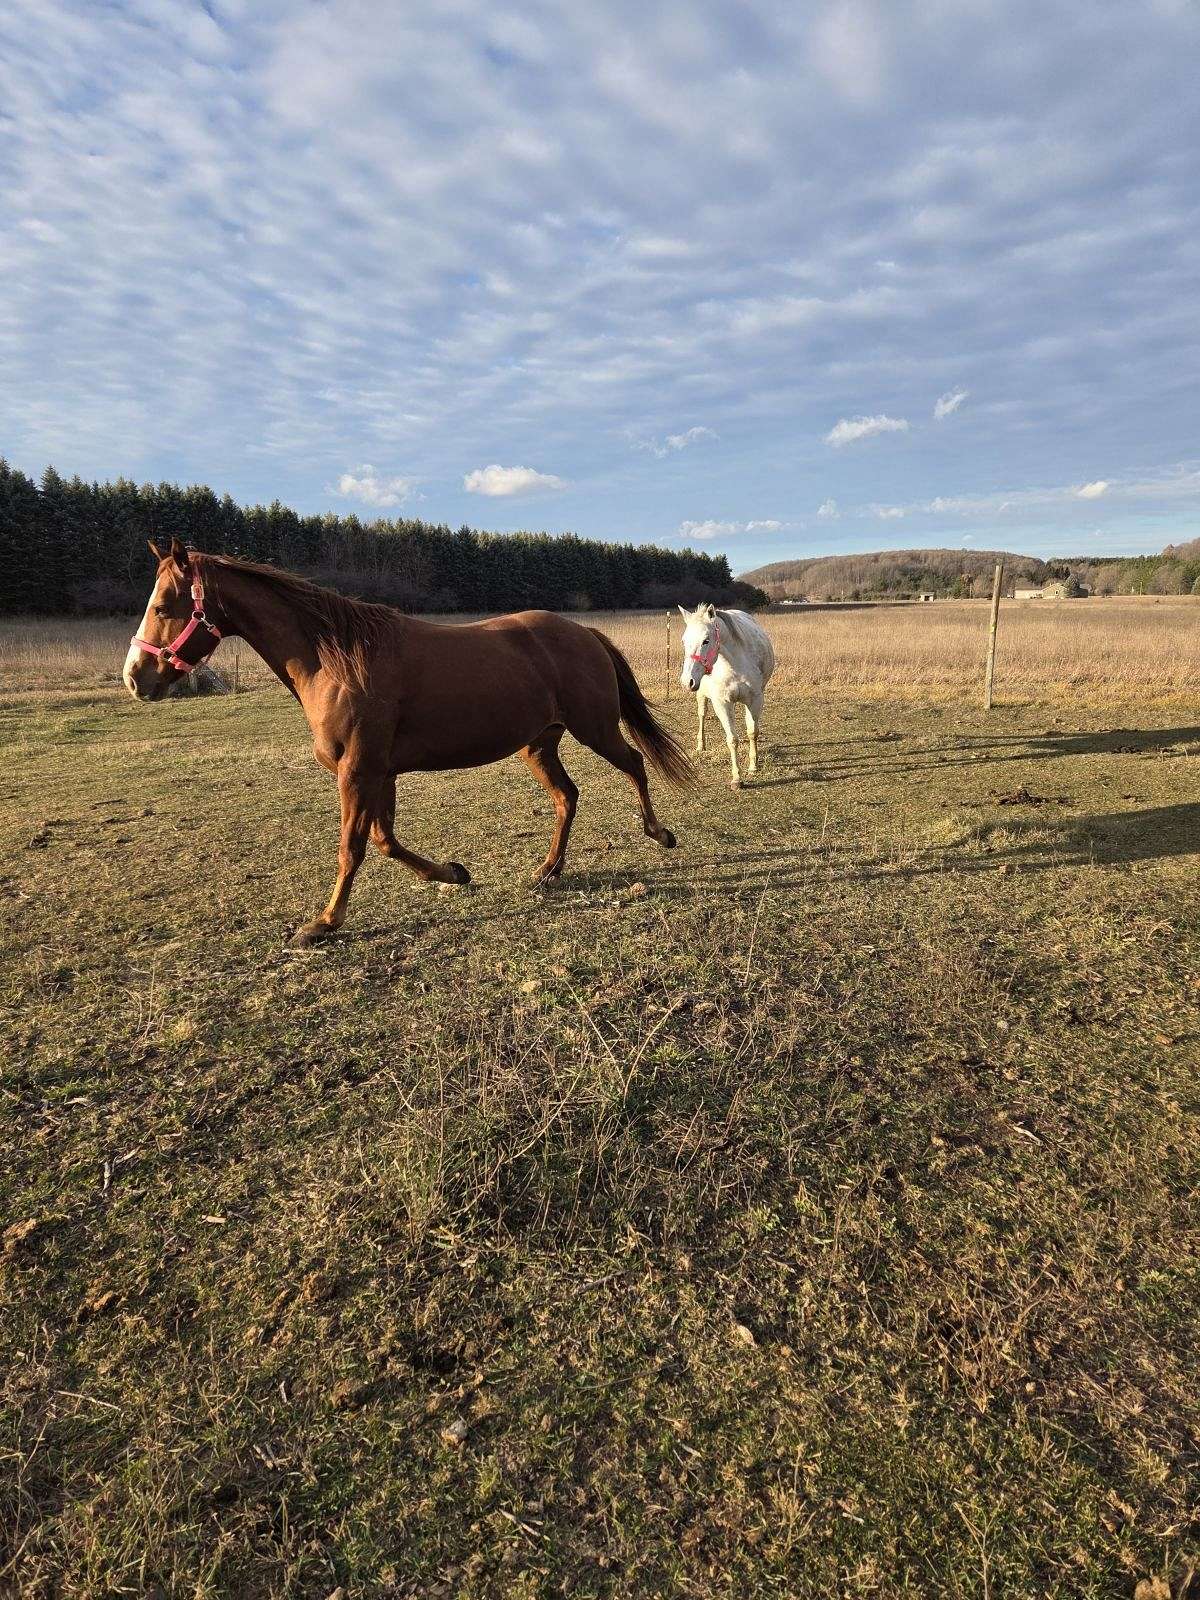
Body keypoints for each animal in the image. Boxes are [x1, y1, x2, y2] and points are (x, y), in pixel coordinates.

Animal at [123, 540, 694, 944]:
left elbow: (352, 847)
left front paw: (324, 923)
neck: (334, 660)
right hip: (540, 744)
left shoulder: (358, 770)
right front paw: (453, 873)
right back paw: (547, 871)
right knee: (567, 796)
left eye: (166, 605)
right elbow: (385, 840)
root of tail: (583, 632)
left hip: (594, 728)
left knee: (634, 763)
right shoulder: (381, 772)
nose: (135, 678)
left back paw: (658, 833)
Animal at [678, 602, 775, 787]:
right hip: (701, 694)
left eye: (706, 640)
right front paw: (736, 778)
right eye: (684, 641)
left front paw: (753, 766)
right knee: (702, 715)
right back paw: (701, 745)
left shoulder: (755, 699)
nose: (687, 681)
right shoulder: (722, 703)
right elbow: (732, 739)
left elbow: (752, 732)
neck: (734, 663)